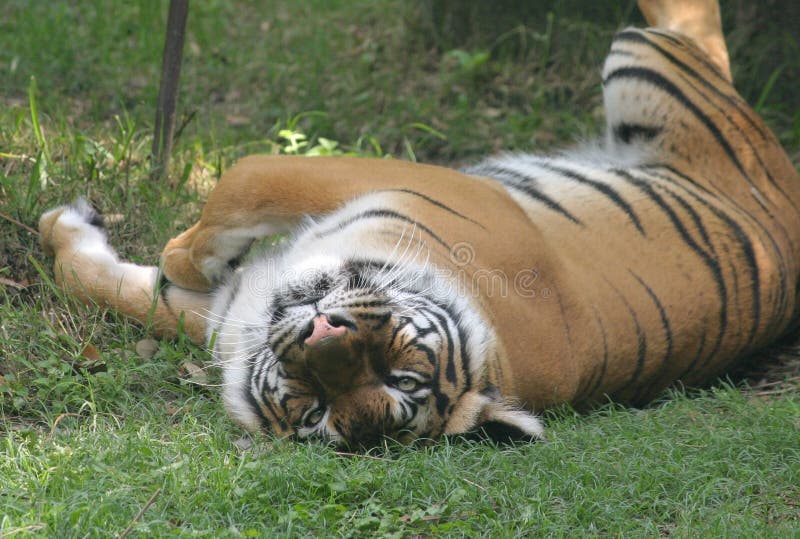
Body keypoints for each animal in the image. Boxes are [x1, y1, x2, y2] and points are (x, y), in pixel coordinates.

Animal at [39, 0, 800, 447]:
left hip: (647, 63)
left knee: (686, 24)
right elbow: (123, 281)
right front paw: (68, 227)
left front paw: (155, 244)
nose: (319, 336)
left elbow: (241, 180)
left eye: (323, 407)